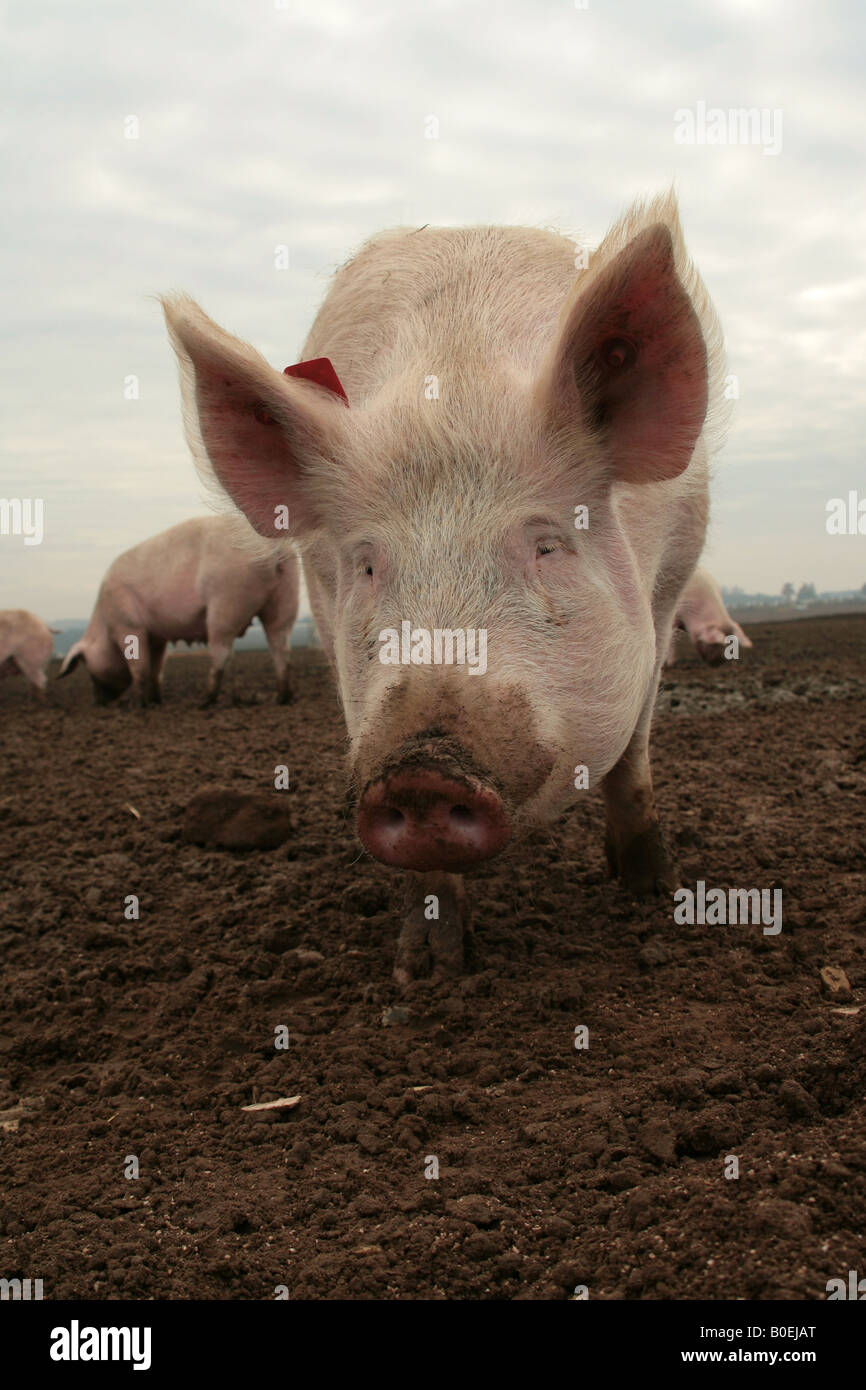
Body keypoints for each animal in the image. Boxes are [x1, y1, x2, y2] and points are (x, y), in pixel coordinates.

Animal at [57, 516, 299, 706]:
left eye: (88, 668)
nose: (96, 703)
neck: (104, 628)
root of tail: (274, 551)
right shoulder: (157, 636)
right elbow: (156, 668)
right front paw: (156, 701)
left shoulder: (128, 625)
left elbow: (139, 668)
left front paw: (139, 705)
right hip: (285, 599)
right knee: (281, 648)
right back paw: (282, 698)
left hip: (226, 603)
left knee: (223, 653)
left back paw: (205, 701)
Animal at [163, 191, 729, 980]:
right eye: (369, 565)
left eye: (546, 545)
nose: (422, 771)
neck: (453, 384)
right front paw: (428, 970)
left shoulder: (668, 587)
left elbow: (632, 757)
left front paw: (652, 895)